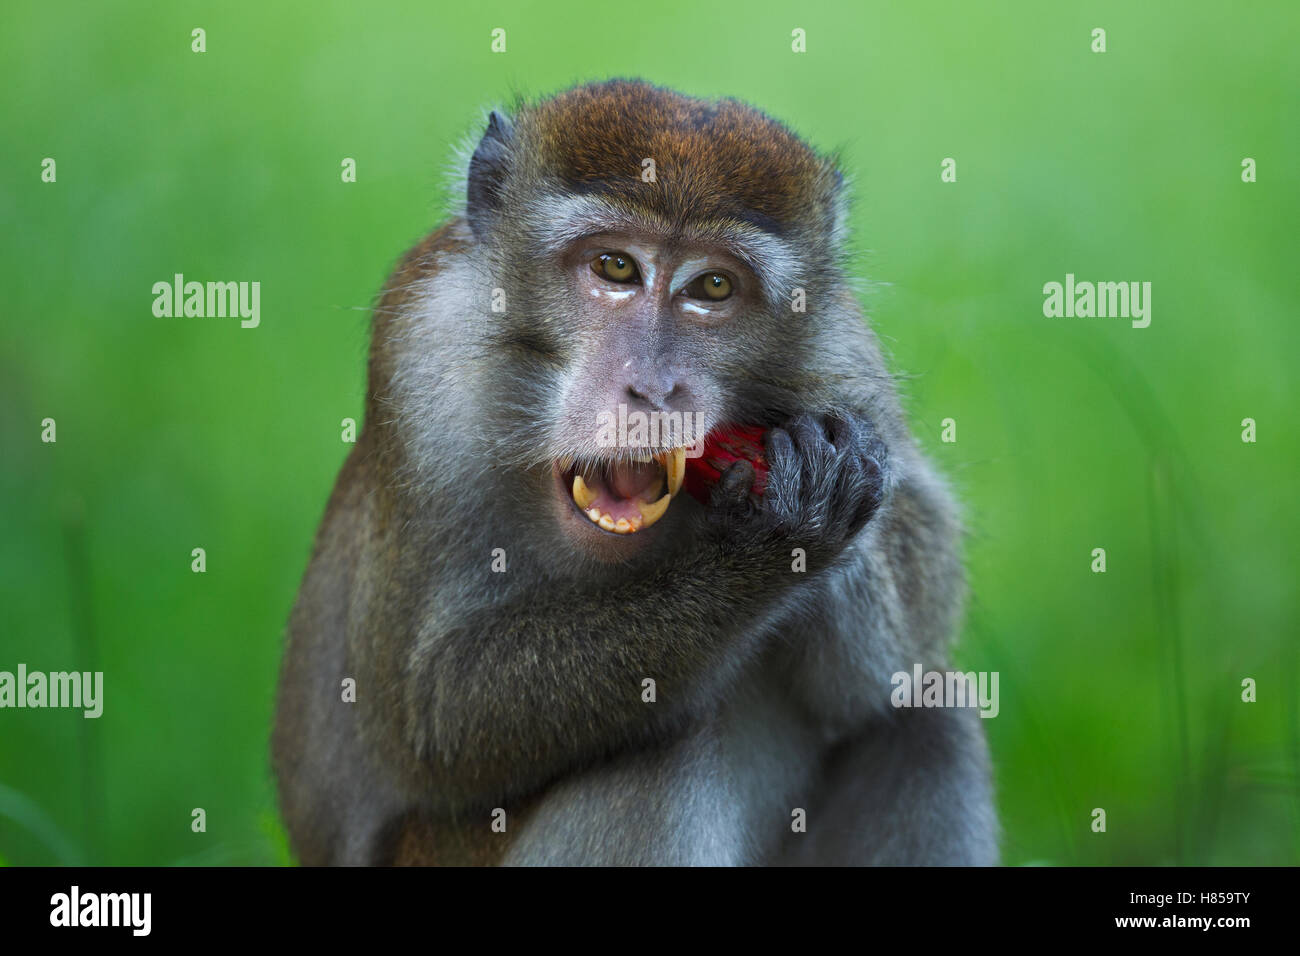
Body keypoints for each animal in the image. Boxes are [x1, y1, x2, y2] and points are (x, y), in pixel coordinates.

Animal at [271, 78, 999, 866]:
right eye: (616, 267)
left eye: (714, 286)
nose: (653, 388)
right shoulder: (421, 357)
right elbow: (428, 717)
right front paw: (770, 547)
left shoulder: (841, 357)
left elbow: (893, 667)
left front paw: (824, 490)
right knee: (660, 755)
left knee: (926, 716)